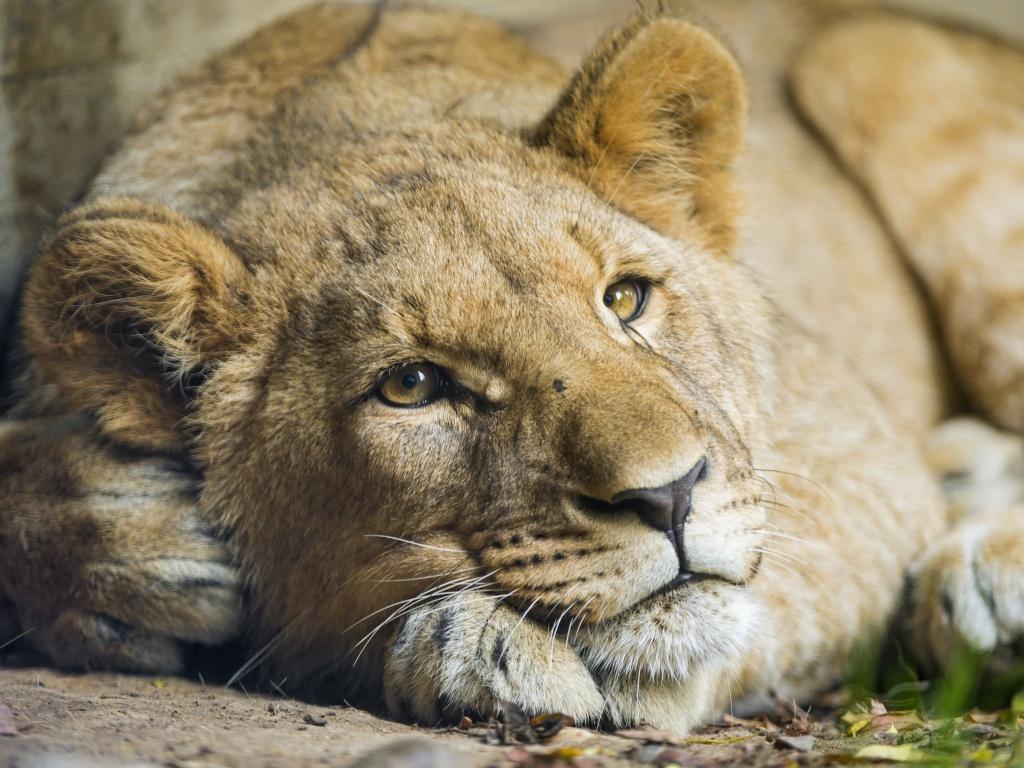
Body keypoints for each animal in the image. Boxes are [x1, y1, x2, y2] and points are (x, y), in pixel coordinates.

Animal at [2, 0, 1023, 731]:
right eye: (413, 386)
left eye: (625, 299)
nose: (670, 496)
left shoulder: (857, 451)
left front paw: (473, 640)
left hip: (873, 67)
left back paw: (986, 574)